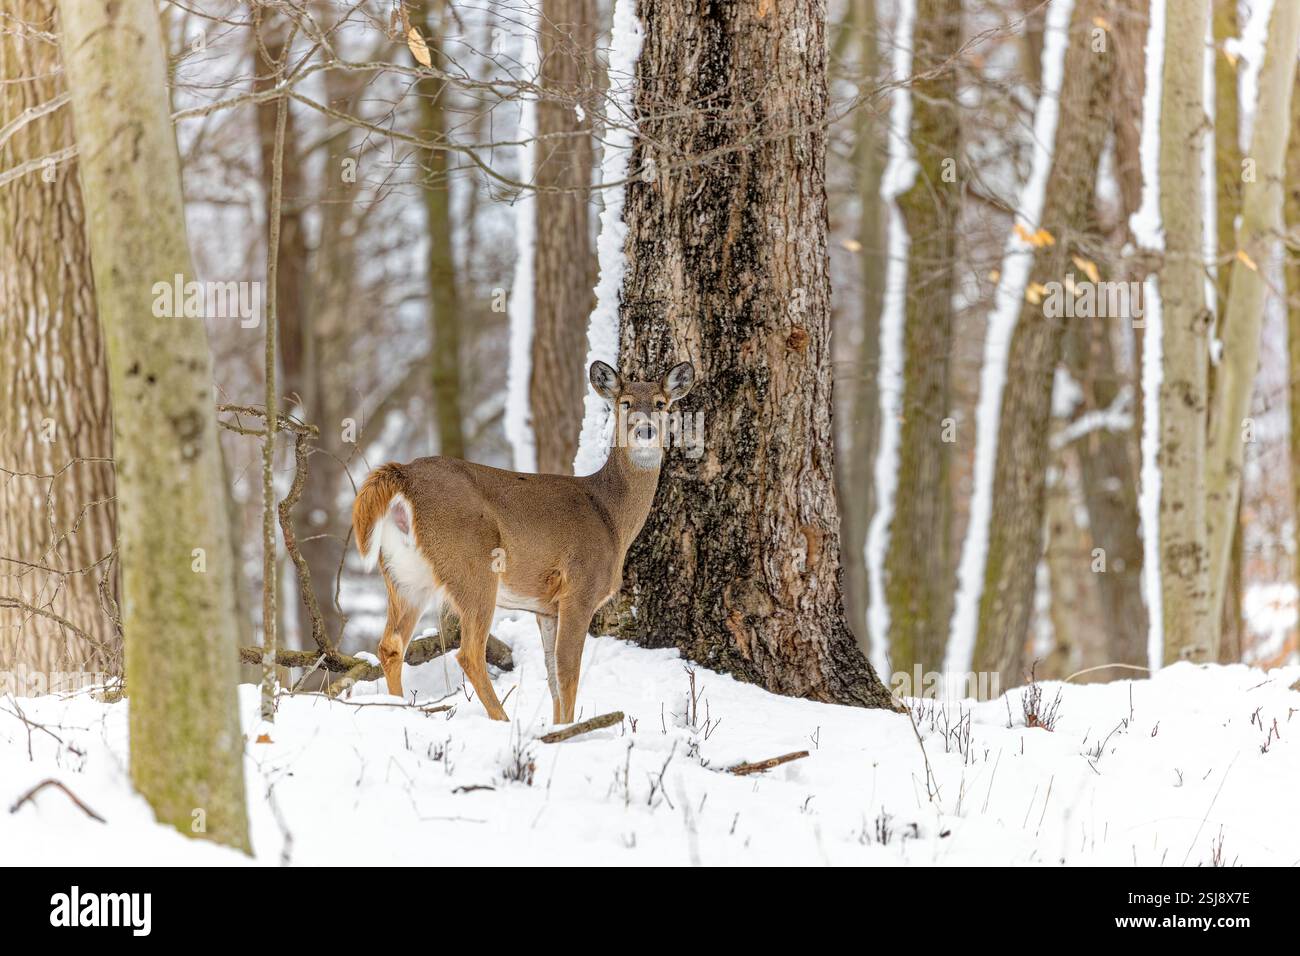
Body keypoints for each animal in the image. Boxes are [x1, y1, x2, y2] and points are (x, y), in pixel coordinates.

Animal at [351, 360, 695, 723]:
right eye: (625, 402)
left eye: (661, 403)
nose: (645, 431)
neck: (610, 517)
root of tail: (404, 474)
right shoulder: (579, 588)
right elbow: (568, 671)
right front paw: (569, 730)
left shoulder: (546, 608)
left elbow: (553, 676)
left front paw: (556, 727)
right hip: (473, 564)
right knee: (469, 653)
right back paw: (501, 720)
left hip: (403, 573)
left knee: (390, 646)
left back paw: (399, 708)